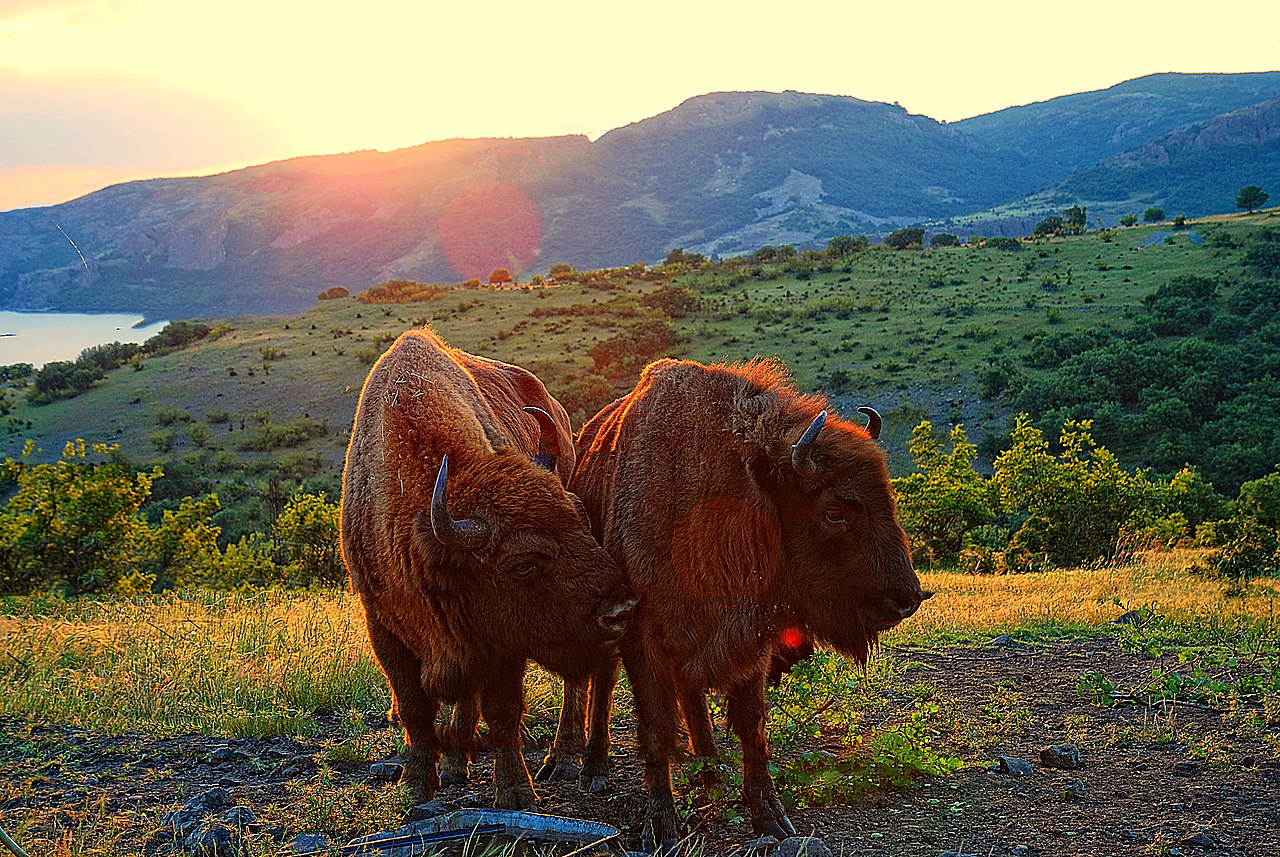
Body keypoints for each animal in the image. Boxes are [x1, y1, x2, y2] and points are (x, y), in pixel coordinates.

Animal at [340, 329, 633, 809]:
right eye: (524, 564)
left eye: (580, 520)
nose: (621, 611)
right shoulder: (383, 624)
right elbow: (414, 706)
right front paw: (418, 783)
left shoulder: (504, 642)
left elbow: (502, 711)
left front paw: (515, 793)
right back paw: (457, 763)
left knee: (583, 679)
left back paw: (564, 758)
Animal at [555, 357, 927, 849]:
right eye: (834, 512)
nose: (907, 599)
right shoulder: (642, 633)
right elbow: (657, 728)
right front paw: (662, 827)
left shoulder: (749, 637)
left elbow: (751, 724)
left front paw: (770, 817)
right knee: (604, 679)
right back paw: (592, 768)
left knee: (691, 698)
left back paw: (710, 775)